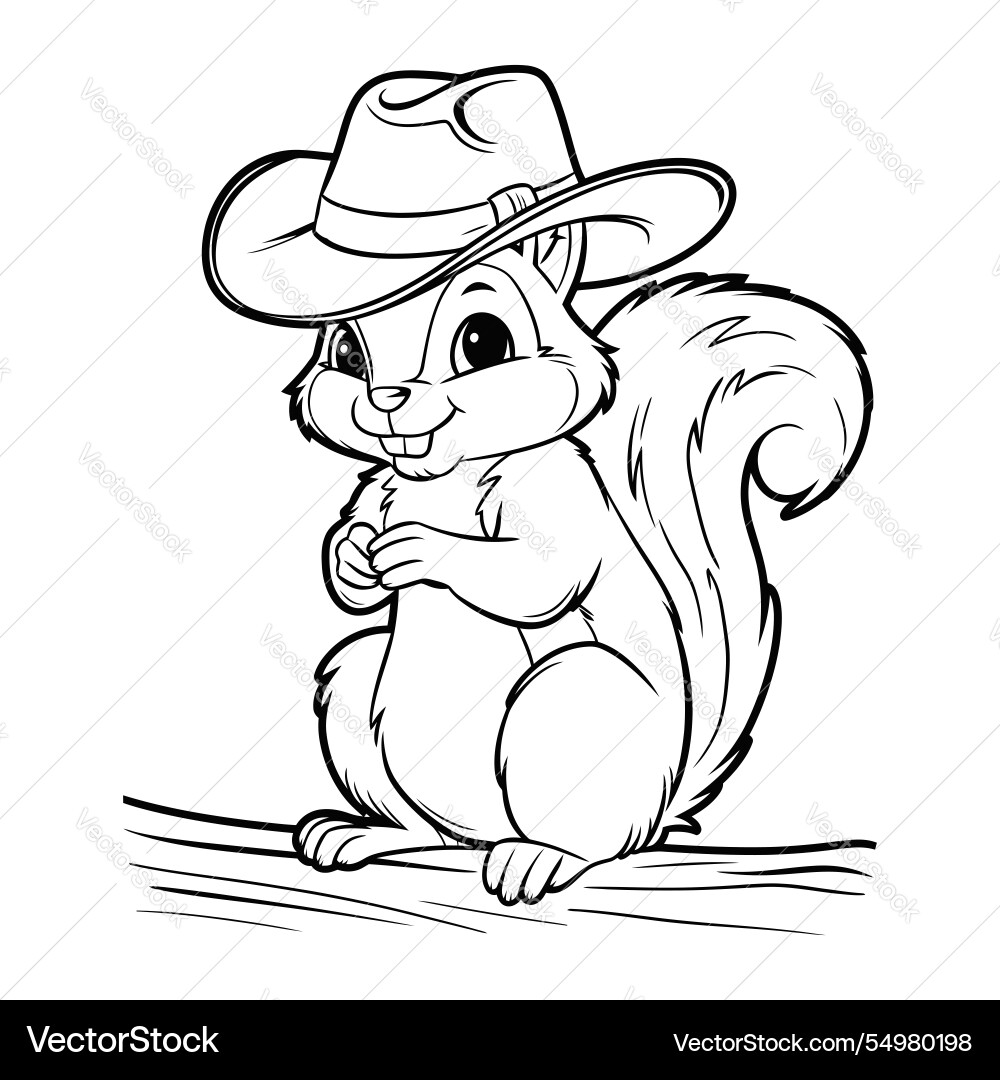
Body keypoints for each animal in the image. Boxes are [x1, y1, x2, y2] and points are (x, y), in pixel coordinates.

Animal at [279, 229, 872, 905]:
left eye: (483, 340)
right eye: (346, 352)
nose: (385, 400)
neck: (442, 480)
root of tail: (660, 804)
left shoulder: (557, 492)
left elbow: (541, 579)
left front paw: (422, 547)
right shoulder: (379, 485)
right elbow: (350, 580)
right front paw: (353, 552)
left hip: (573, 699)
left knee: (591, 843)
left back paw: (540, 858)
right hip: (357, 683)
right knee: (431, 828)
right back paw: (366, 834)